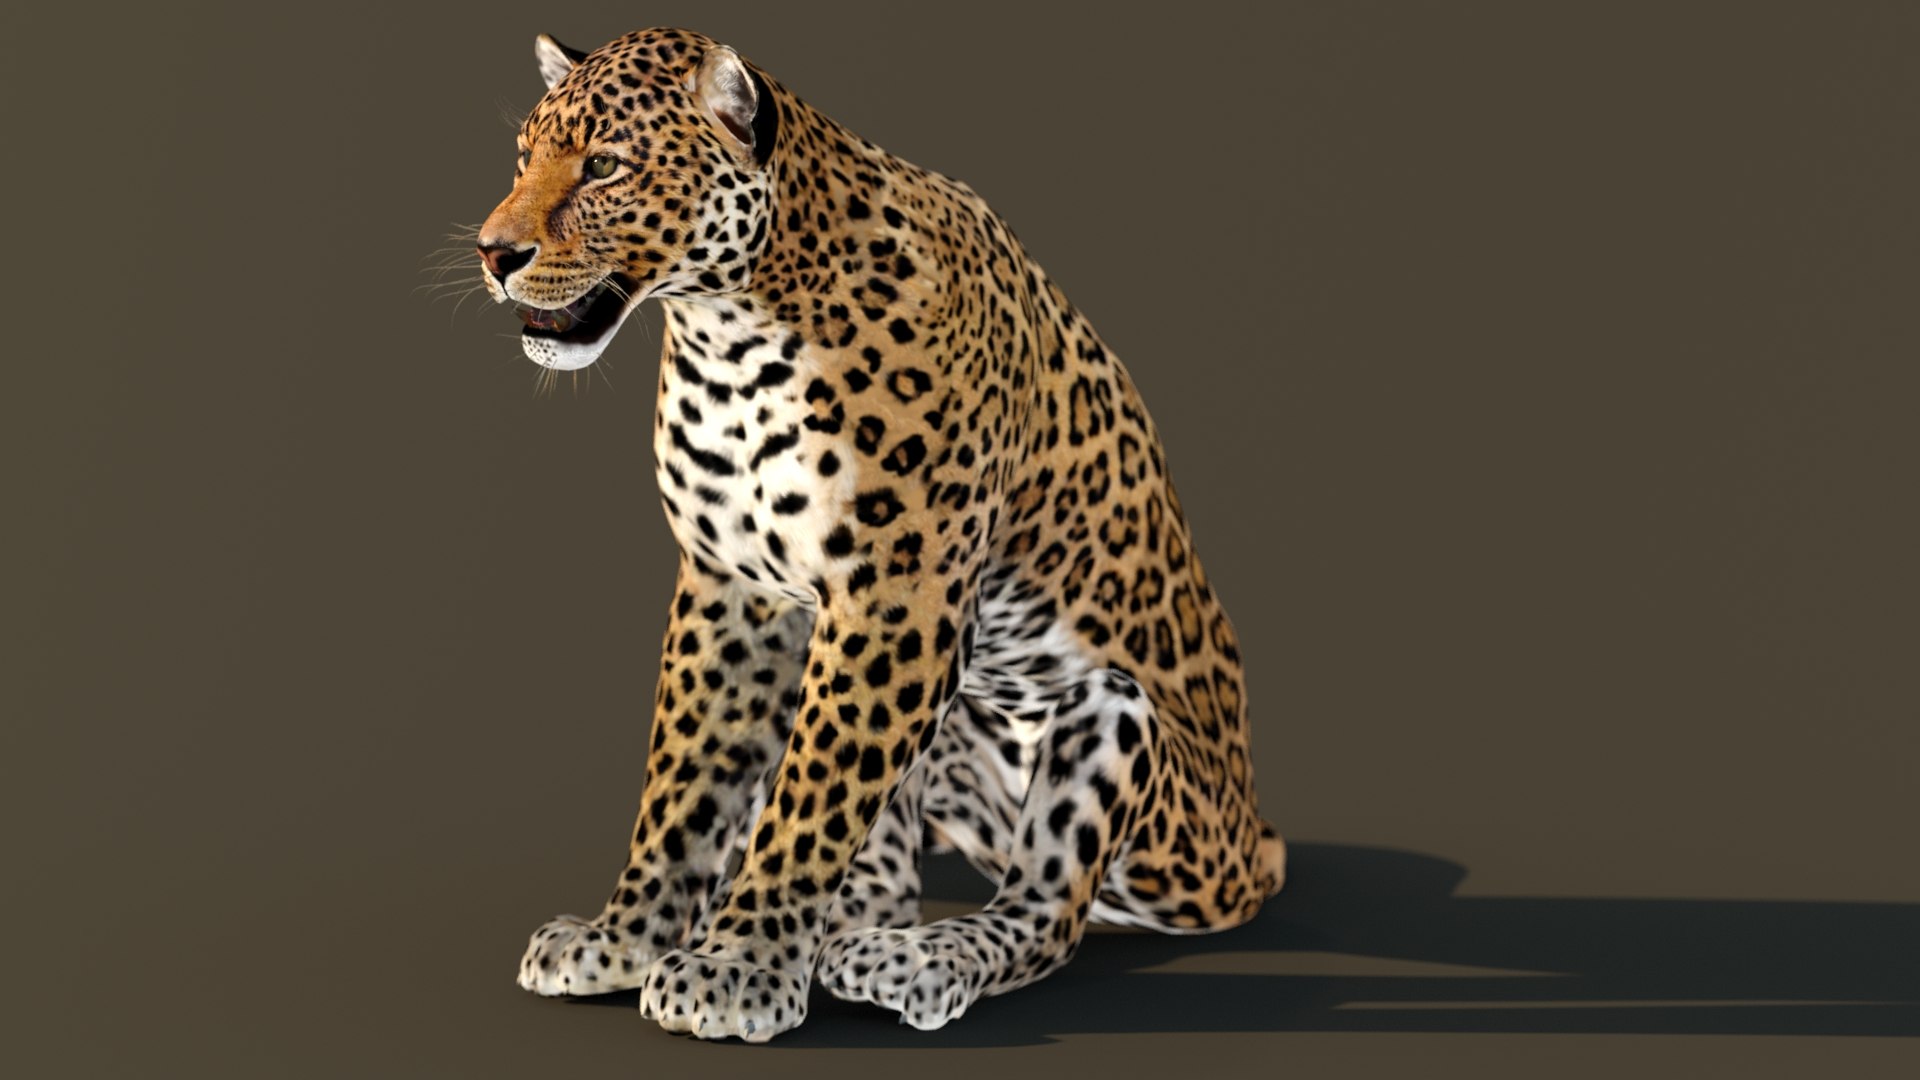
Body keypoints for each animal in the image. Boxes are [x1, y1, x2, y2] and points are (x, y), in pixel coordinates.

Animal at [474, 27, 1286, 1042]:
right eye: (521, 160)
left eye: (606, 167)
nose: (492, 253)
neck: (727, 334)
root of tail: (1253, 845)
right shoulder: (732, 590)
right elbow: (686, 781)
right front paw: (625, 937)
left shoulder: (898, 597)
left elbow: (811, 798)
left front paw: (736, 967)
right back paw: (861, 929)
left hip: (1119, 734)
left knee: (1048, 912)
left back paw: (921, 957)